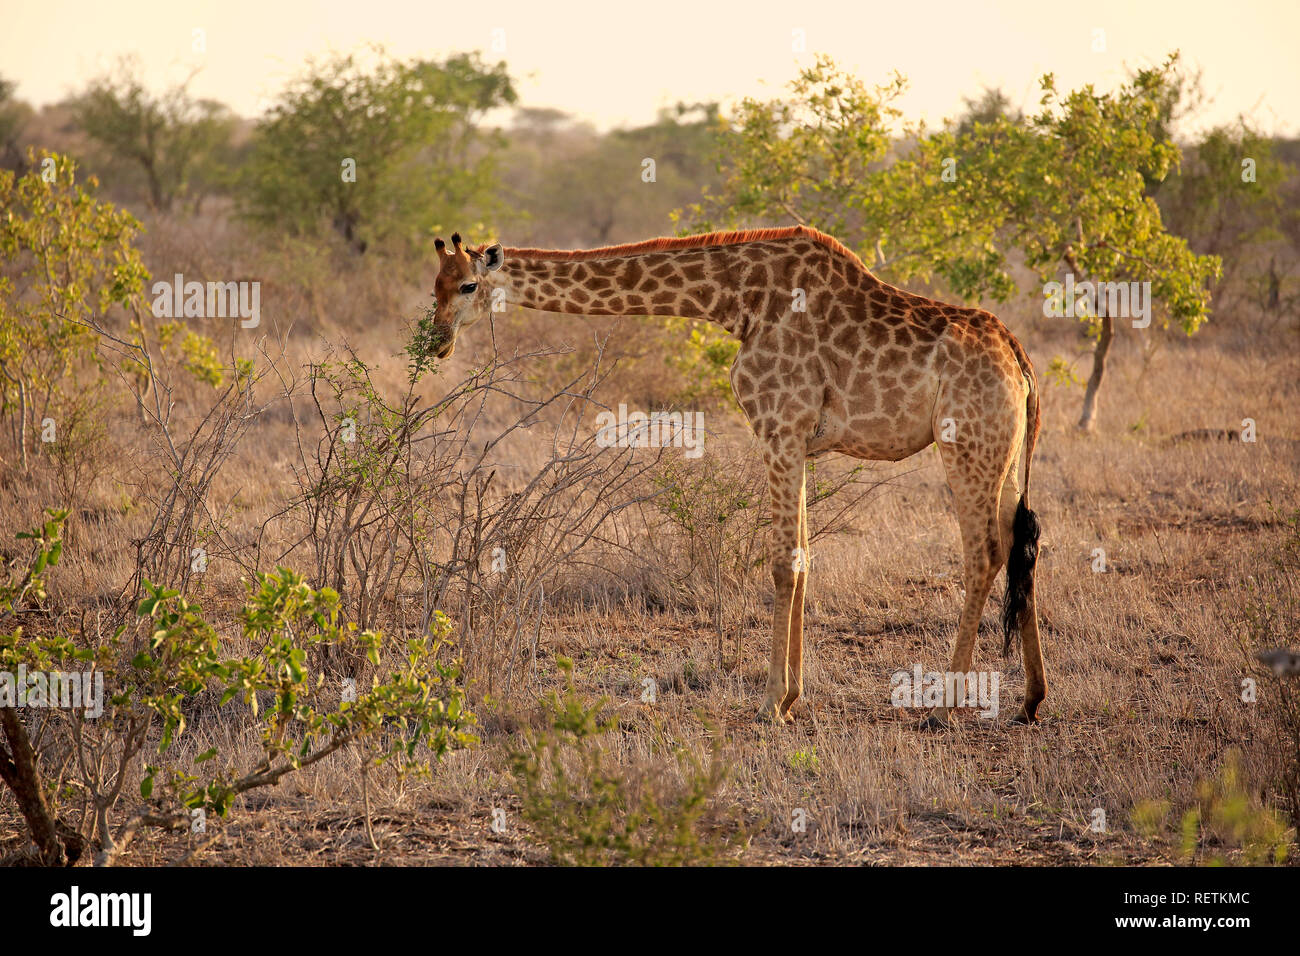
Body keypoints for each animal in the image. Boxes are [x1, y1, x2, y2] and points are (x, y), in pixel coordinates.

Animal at [429, 227, 1045, 727]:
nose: (437, 342)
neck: (736, 300)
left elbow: (783, 563)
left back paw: (945, 705)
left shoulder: (780, 427)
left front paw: (771, 702)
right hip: (1004, 453)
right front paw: (794, 697)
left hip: (964, 444)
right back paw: (1031, 700)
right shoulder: (795, 440)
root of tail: (1020, 359)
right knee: (1022, 544)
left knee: (984, 553)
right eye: (434, 286)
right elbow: (803, 556)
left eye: (467, 287)